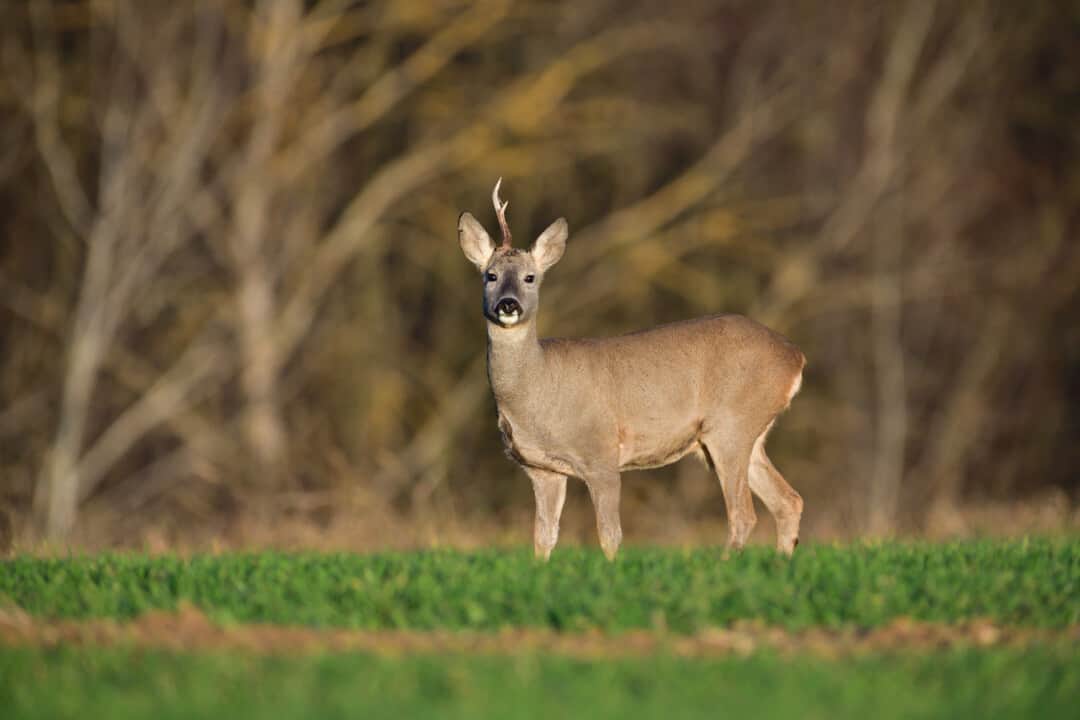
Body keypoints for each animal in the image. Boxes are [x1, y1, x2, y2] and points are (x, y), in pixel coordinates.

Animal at [458, 179, 806, 561]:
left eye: (530, 278)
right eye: (490, 276)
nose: (508, 304)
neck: (538, 390)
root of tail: (795, 356)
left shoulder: (602, 452)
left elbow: (610, 534)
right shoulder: (541, 470)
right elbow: (543, 538)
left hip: (731, 425)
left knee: (744, 514)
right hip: (743, 436)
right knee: (788, 500)